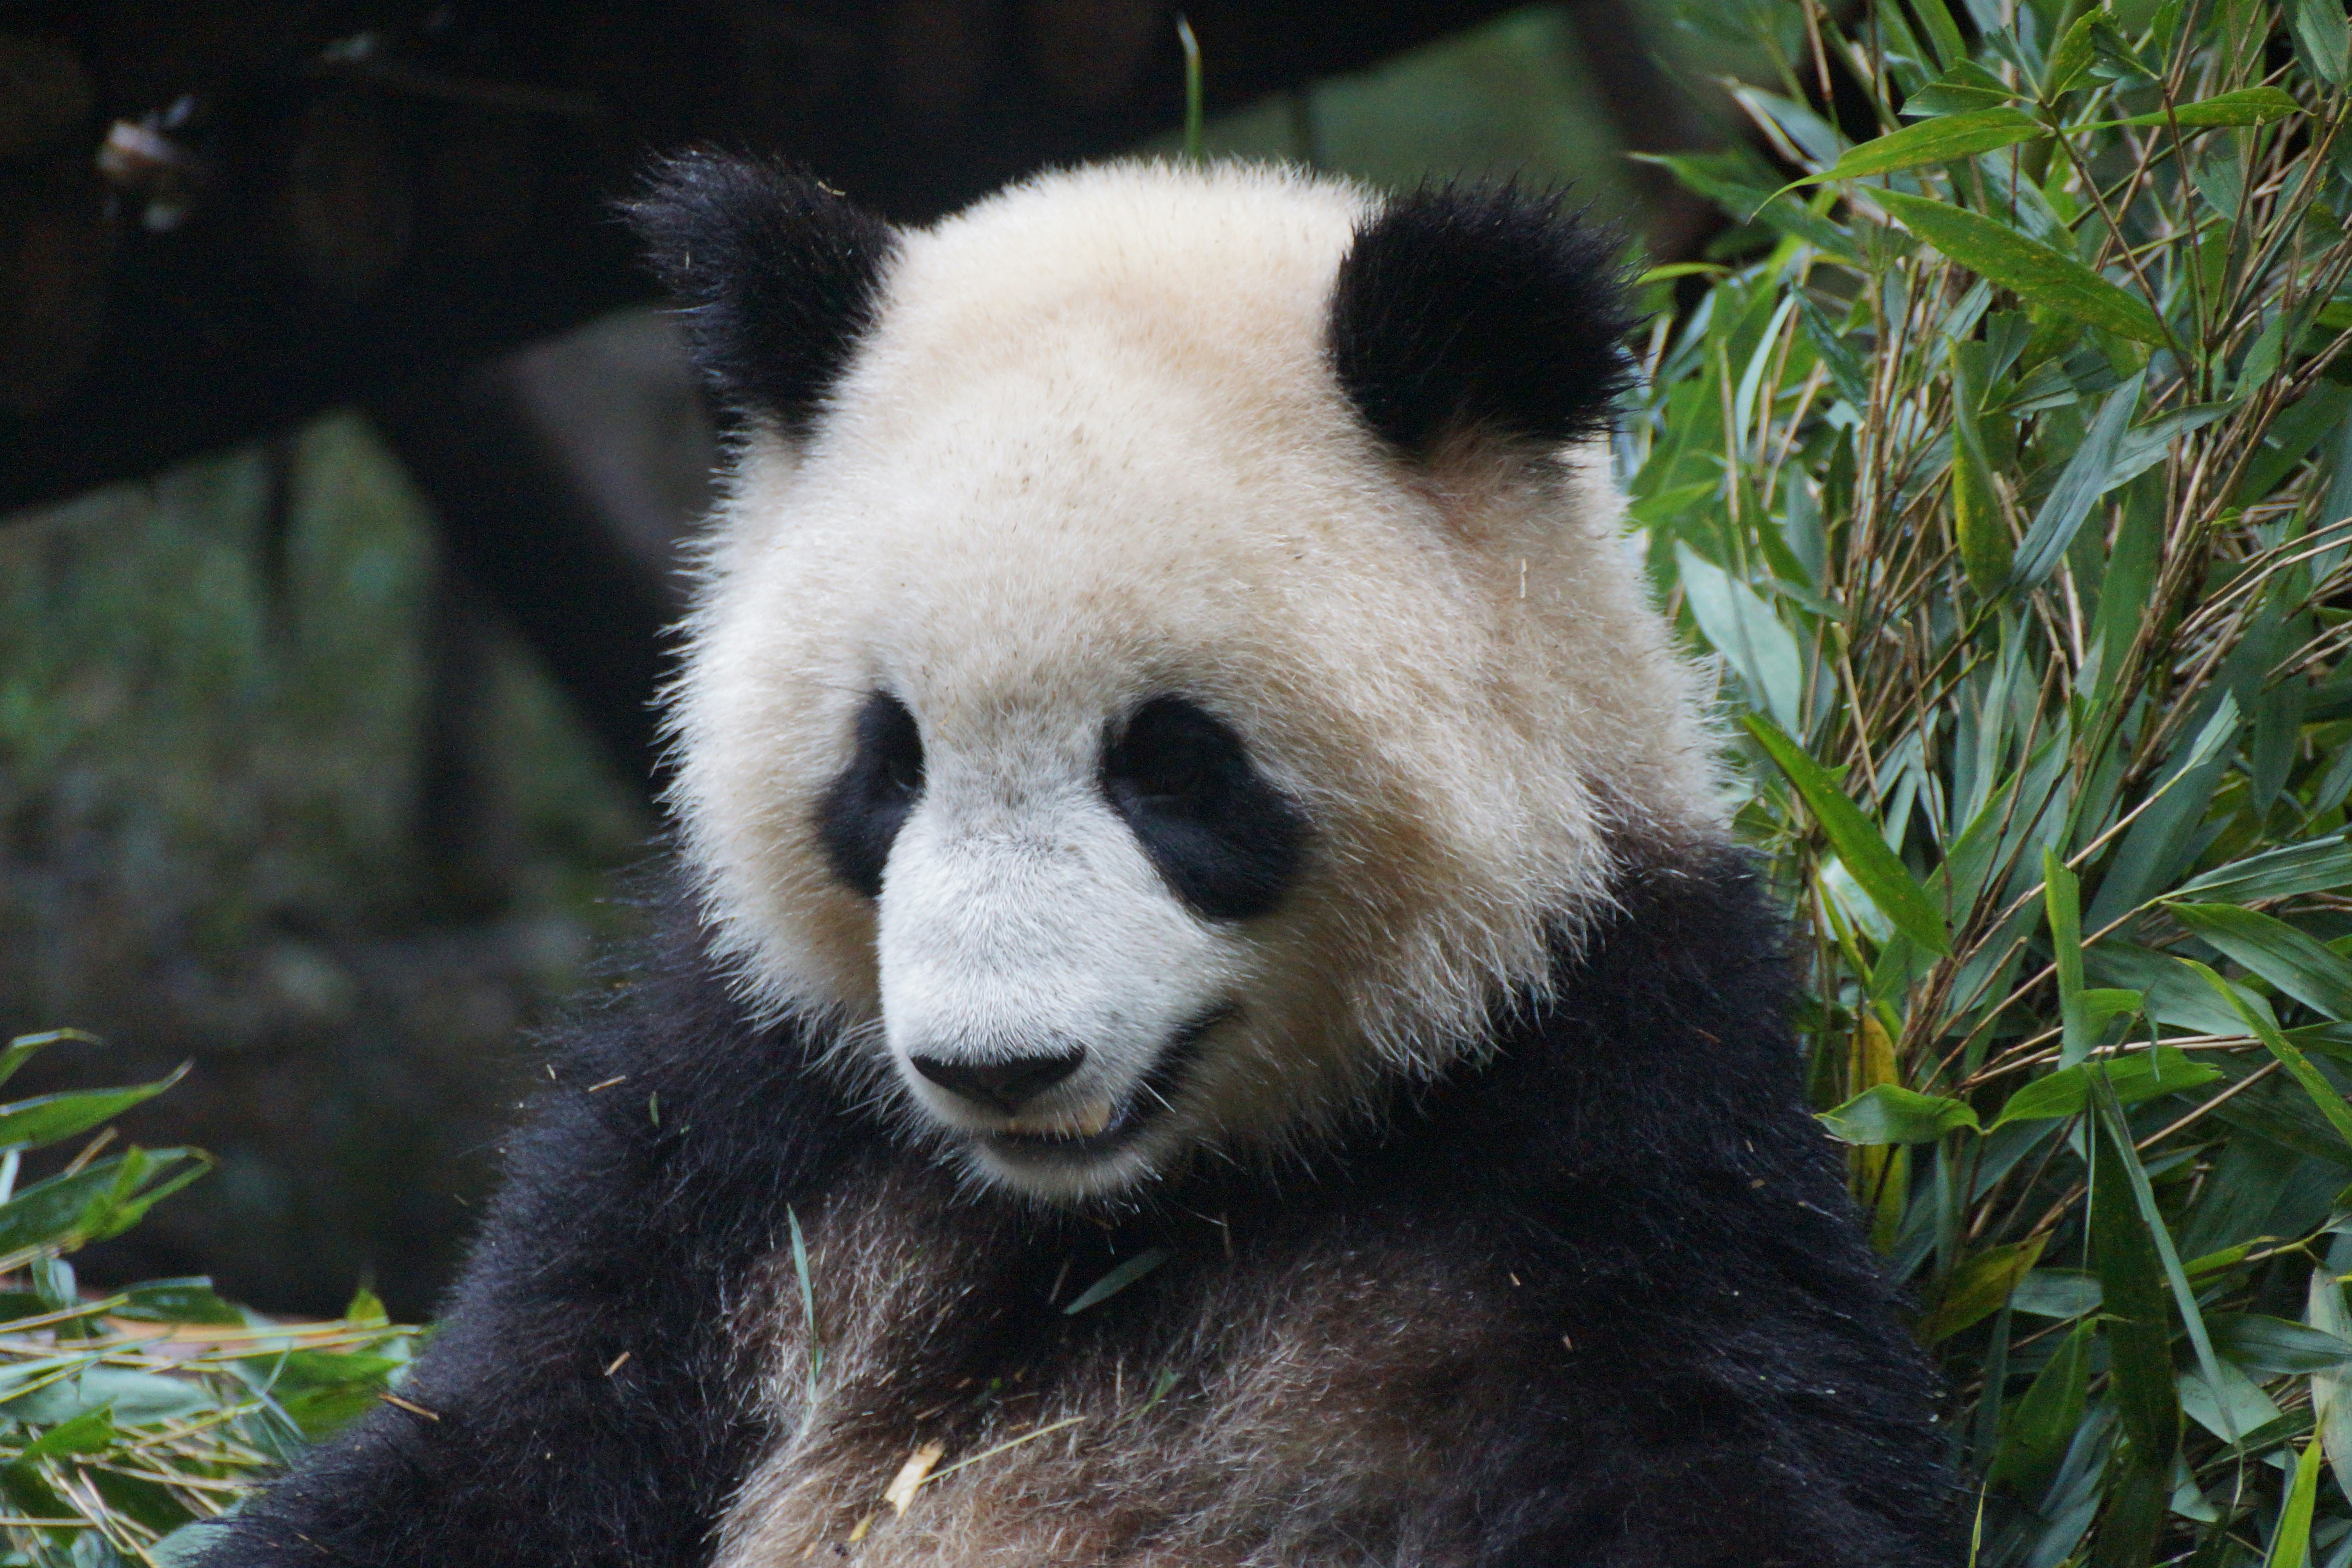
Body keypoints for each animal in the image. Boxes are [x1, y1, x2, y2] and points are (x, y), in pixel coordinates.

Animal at [196, 155, 1949, 1567]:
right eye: (888, 763)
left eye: (1173, 766)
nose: (1000, 1065)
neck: (1113, 1214)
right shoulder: (734, 1138)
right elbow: (504, 1439)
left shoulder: (1608, 1109)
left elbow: (1714, 1450)